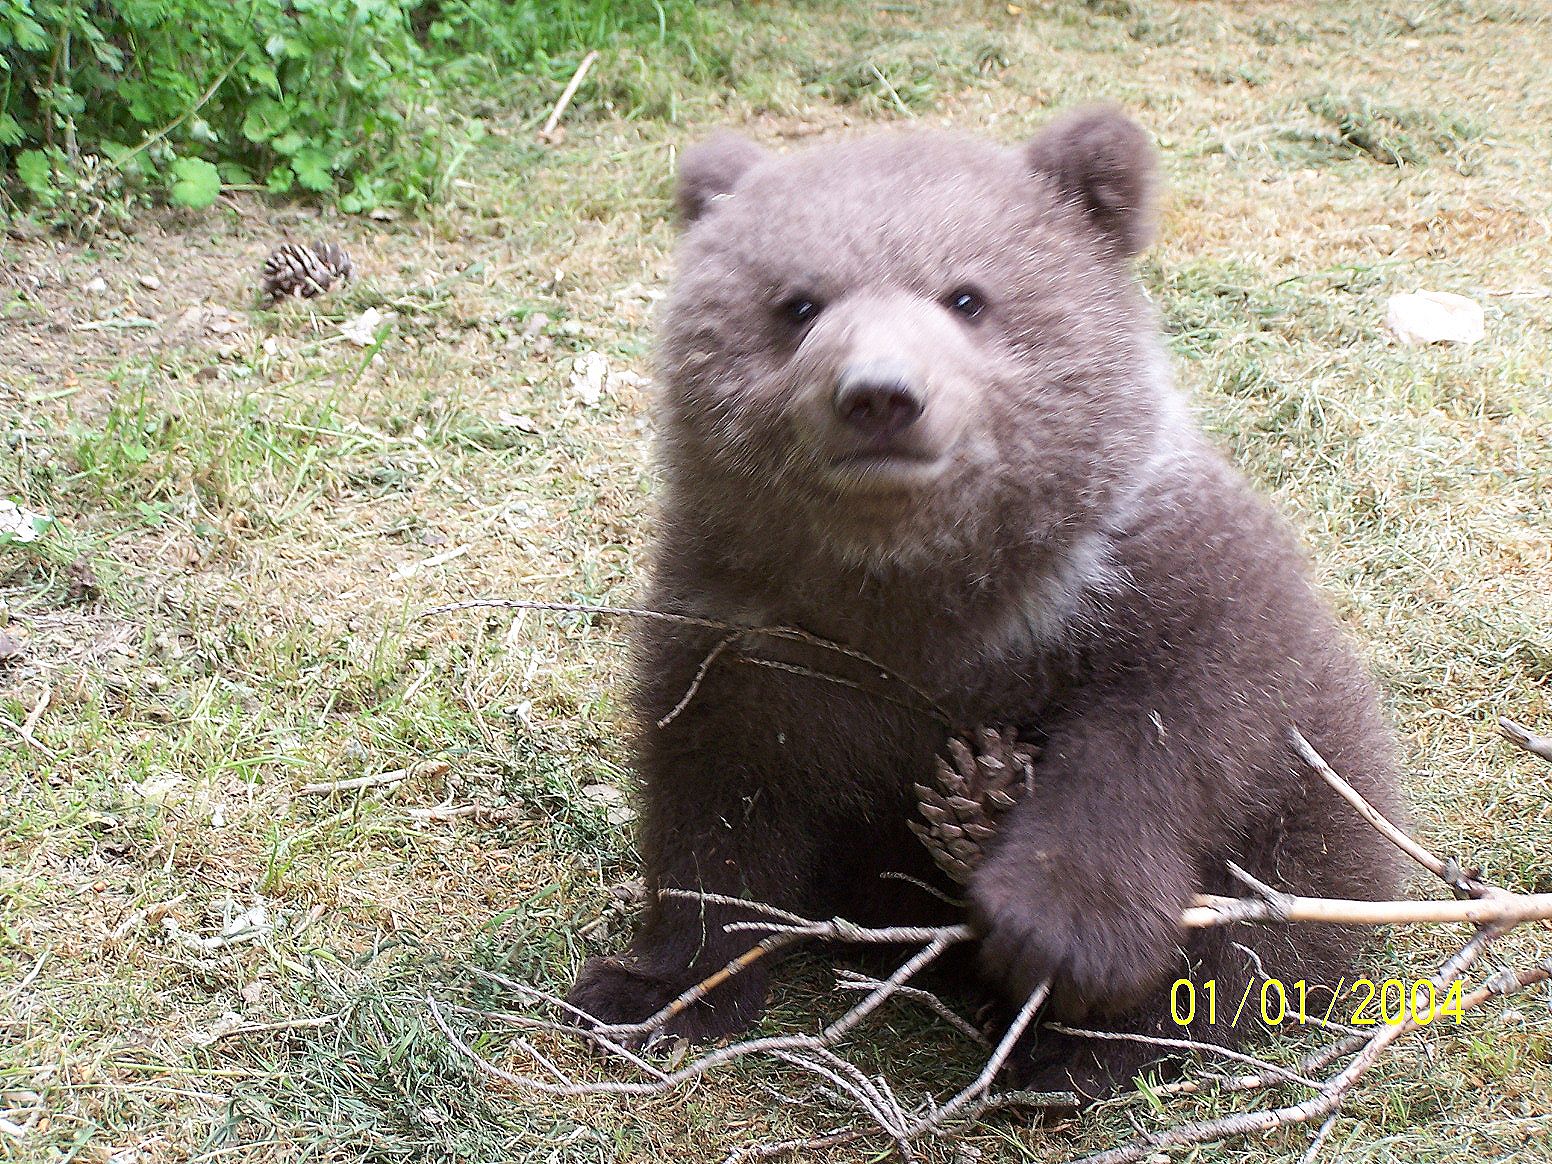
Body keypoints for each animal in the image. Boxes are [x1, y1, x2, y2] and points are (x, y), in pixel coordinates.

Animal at [565, 107, 1402, 1098]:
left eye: (965, 297)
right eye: (799, 304)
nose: (880, 396)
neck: (914, 578)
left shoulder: (1136, 577)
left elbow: (1177, 719)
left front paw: (1065, 931)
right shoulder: (749, 636)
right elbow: (715, 810)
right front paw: (648, 989)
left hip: (1326, 813)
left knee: (1268, 927)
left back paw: (1077, 1048)